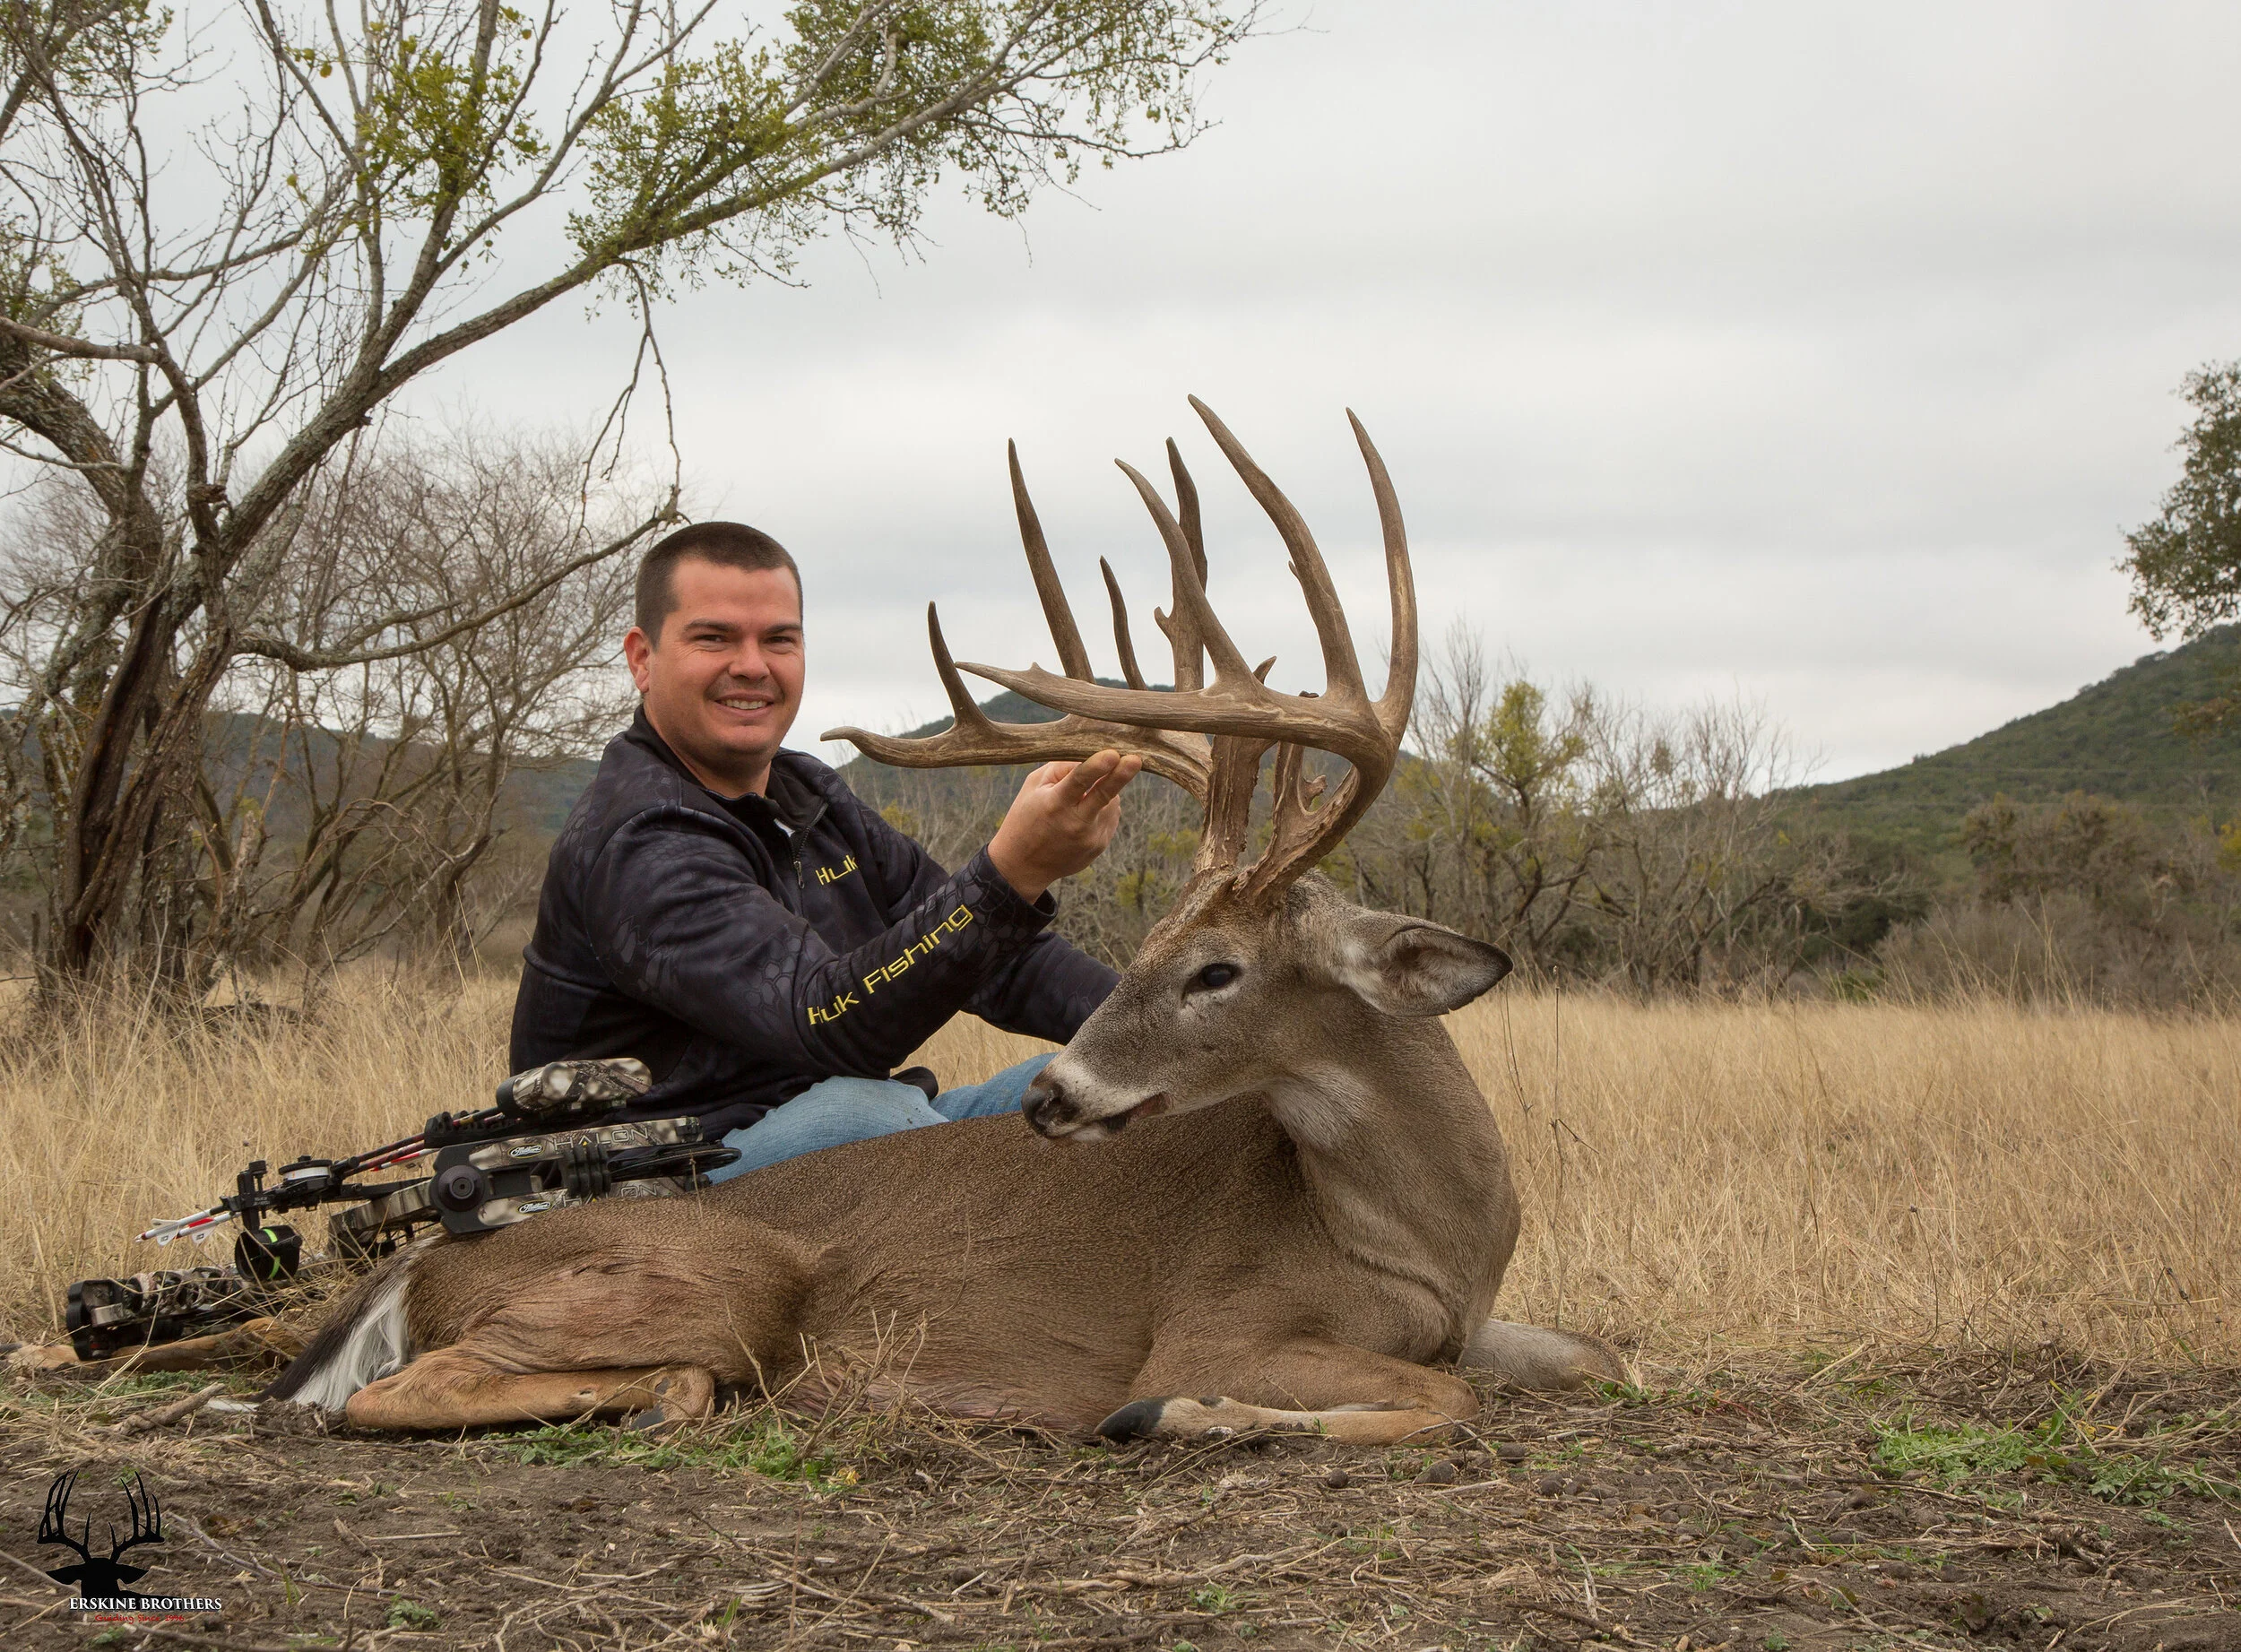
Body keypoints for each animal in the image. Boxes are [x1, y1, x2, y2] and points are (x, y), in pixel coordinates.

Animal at [268, 399, 1627, 1442]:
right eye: (1166, 955)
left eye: (1212, 969)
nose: (1053, 1094)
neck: (1430, 1233)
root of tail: (420, 1257)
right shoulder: (1216, 1321)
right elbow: (1441, 1400)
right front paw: (1180, 1416)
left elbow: (1597, 1358)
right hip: (716, 1272)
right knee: (387, 1394)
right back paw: (668, 1393)